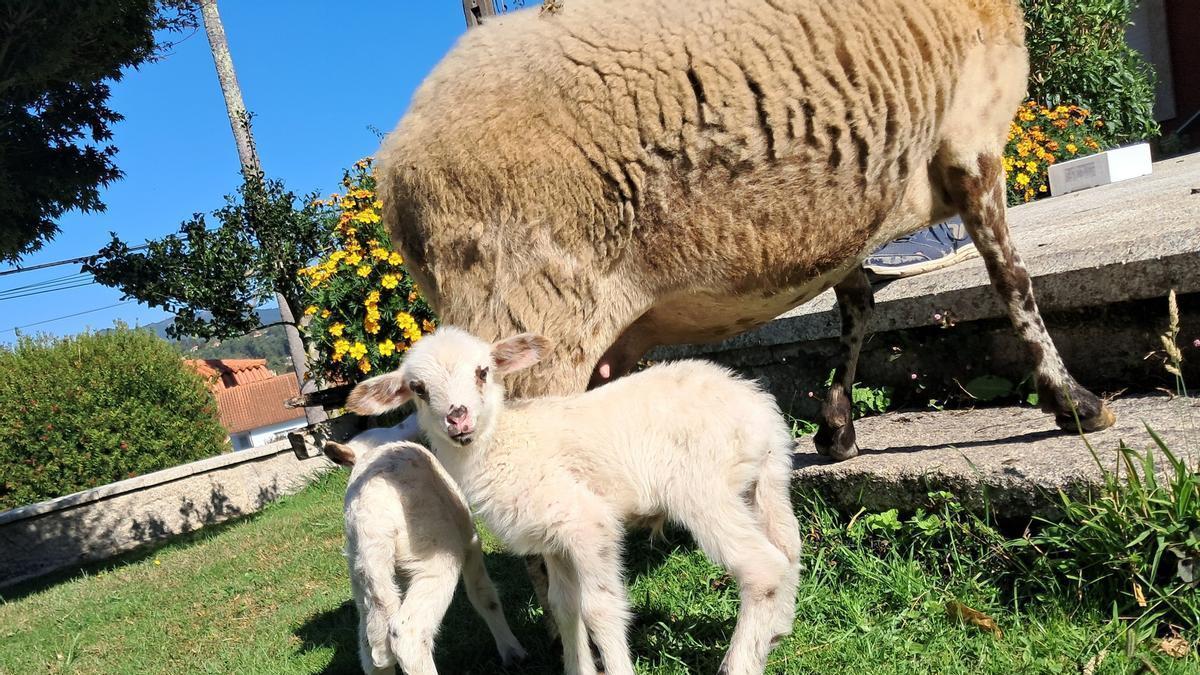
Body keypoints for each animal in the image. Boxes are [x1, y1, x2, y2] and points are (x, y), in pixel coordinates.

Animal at [326, 424, 527, 675]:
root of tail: (372, 514)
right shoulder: (470, 541)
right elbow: (484, 595)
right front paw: (512, 651)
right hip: (434, 555)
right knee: (408, 634)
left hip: (363, 571)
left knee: (369, 648)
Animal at [346, 327, 803, 675]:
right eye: (418, 389)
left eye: (483, 371)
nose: (458, 418)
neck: (503, 444)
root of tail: (756, 406)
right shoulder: (554, 538)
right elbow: (564, 607)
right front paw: (577, 666)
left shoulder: (588, 523)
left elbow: (599, 608)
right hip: (765, 478)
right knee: (787, 549)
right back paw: (776, 632)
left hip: (701, 487)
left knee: (761, 566)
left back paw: (740, 663)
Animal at [376, 0, 1116, 462]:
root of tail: (393, 175)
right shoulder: (970, 142)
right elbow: (1013, 280)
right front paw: (1076, 403)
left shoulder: (846, 208)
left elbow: (857, 306)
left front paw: (836, 428)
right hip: (533, 315)